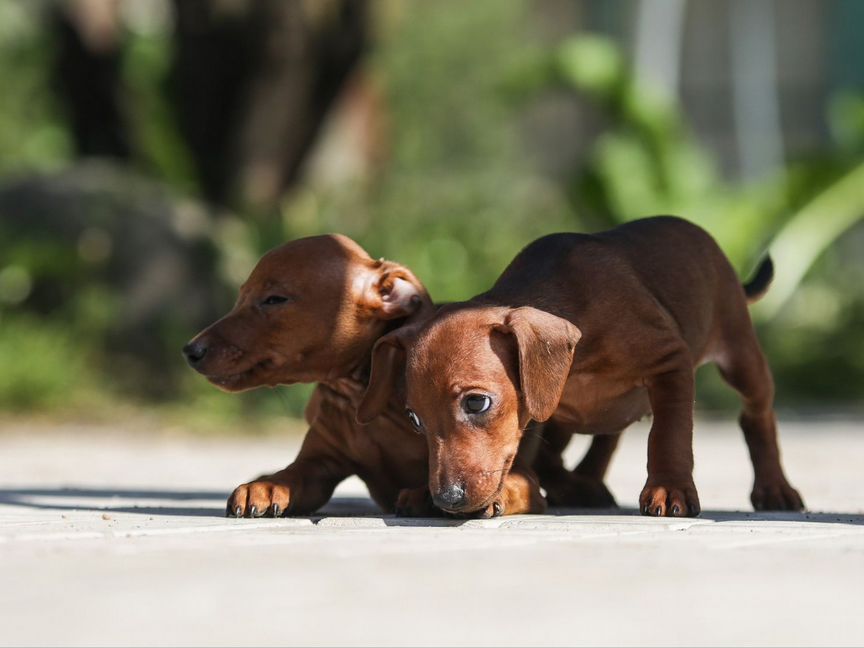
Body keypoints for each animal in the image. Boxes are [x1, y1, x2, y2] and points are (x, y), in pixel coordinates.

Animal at [358, 216, 804, 516]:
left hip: (741, 354)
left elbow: (669, 434)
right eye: (414, 419)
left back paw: (774, 489)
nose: (447, 499)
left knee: (756, 415)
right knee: (604, 439)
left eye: (476, 403)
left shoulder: (671, 360)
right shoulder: (533, 423)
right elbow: (526, 473)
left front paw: (669, 488)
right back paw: (583, 484)